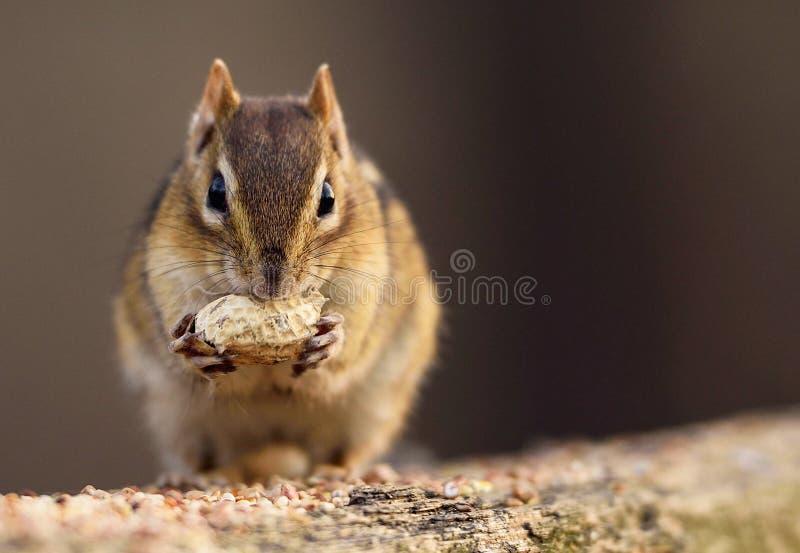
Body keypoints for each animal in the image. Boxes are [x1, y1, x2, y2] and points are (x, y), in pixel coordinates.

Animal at [114, 59, 441, 482]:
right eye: (215, 192)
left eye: (328, 197)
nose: (273, 282)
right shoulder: (168, 281)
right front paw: (191, 348)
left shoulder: (367, 291)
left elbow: (341, 361)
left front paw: (331, 340)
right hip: (174, 417)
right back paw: (197, 476)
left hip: (375, 406)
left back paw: (345, 471)